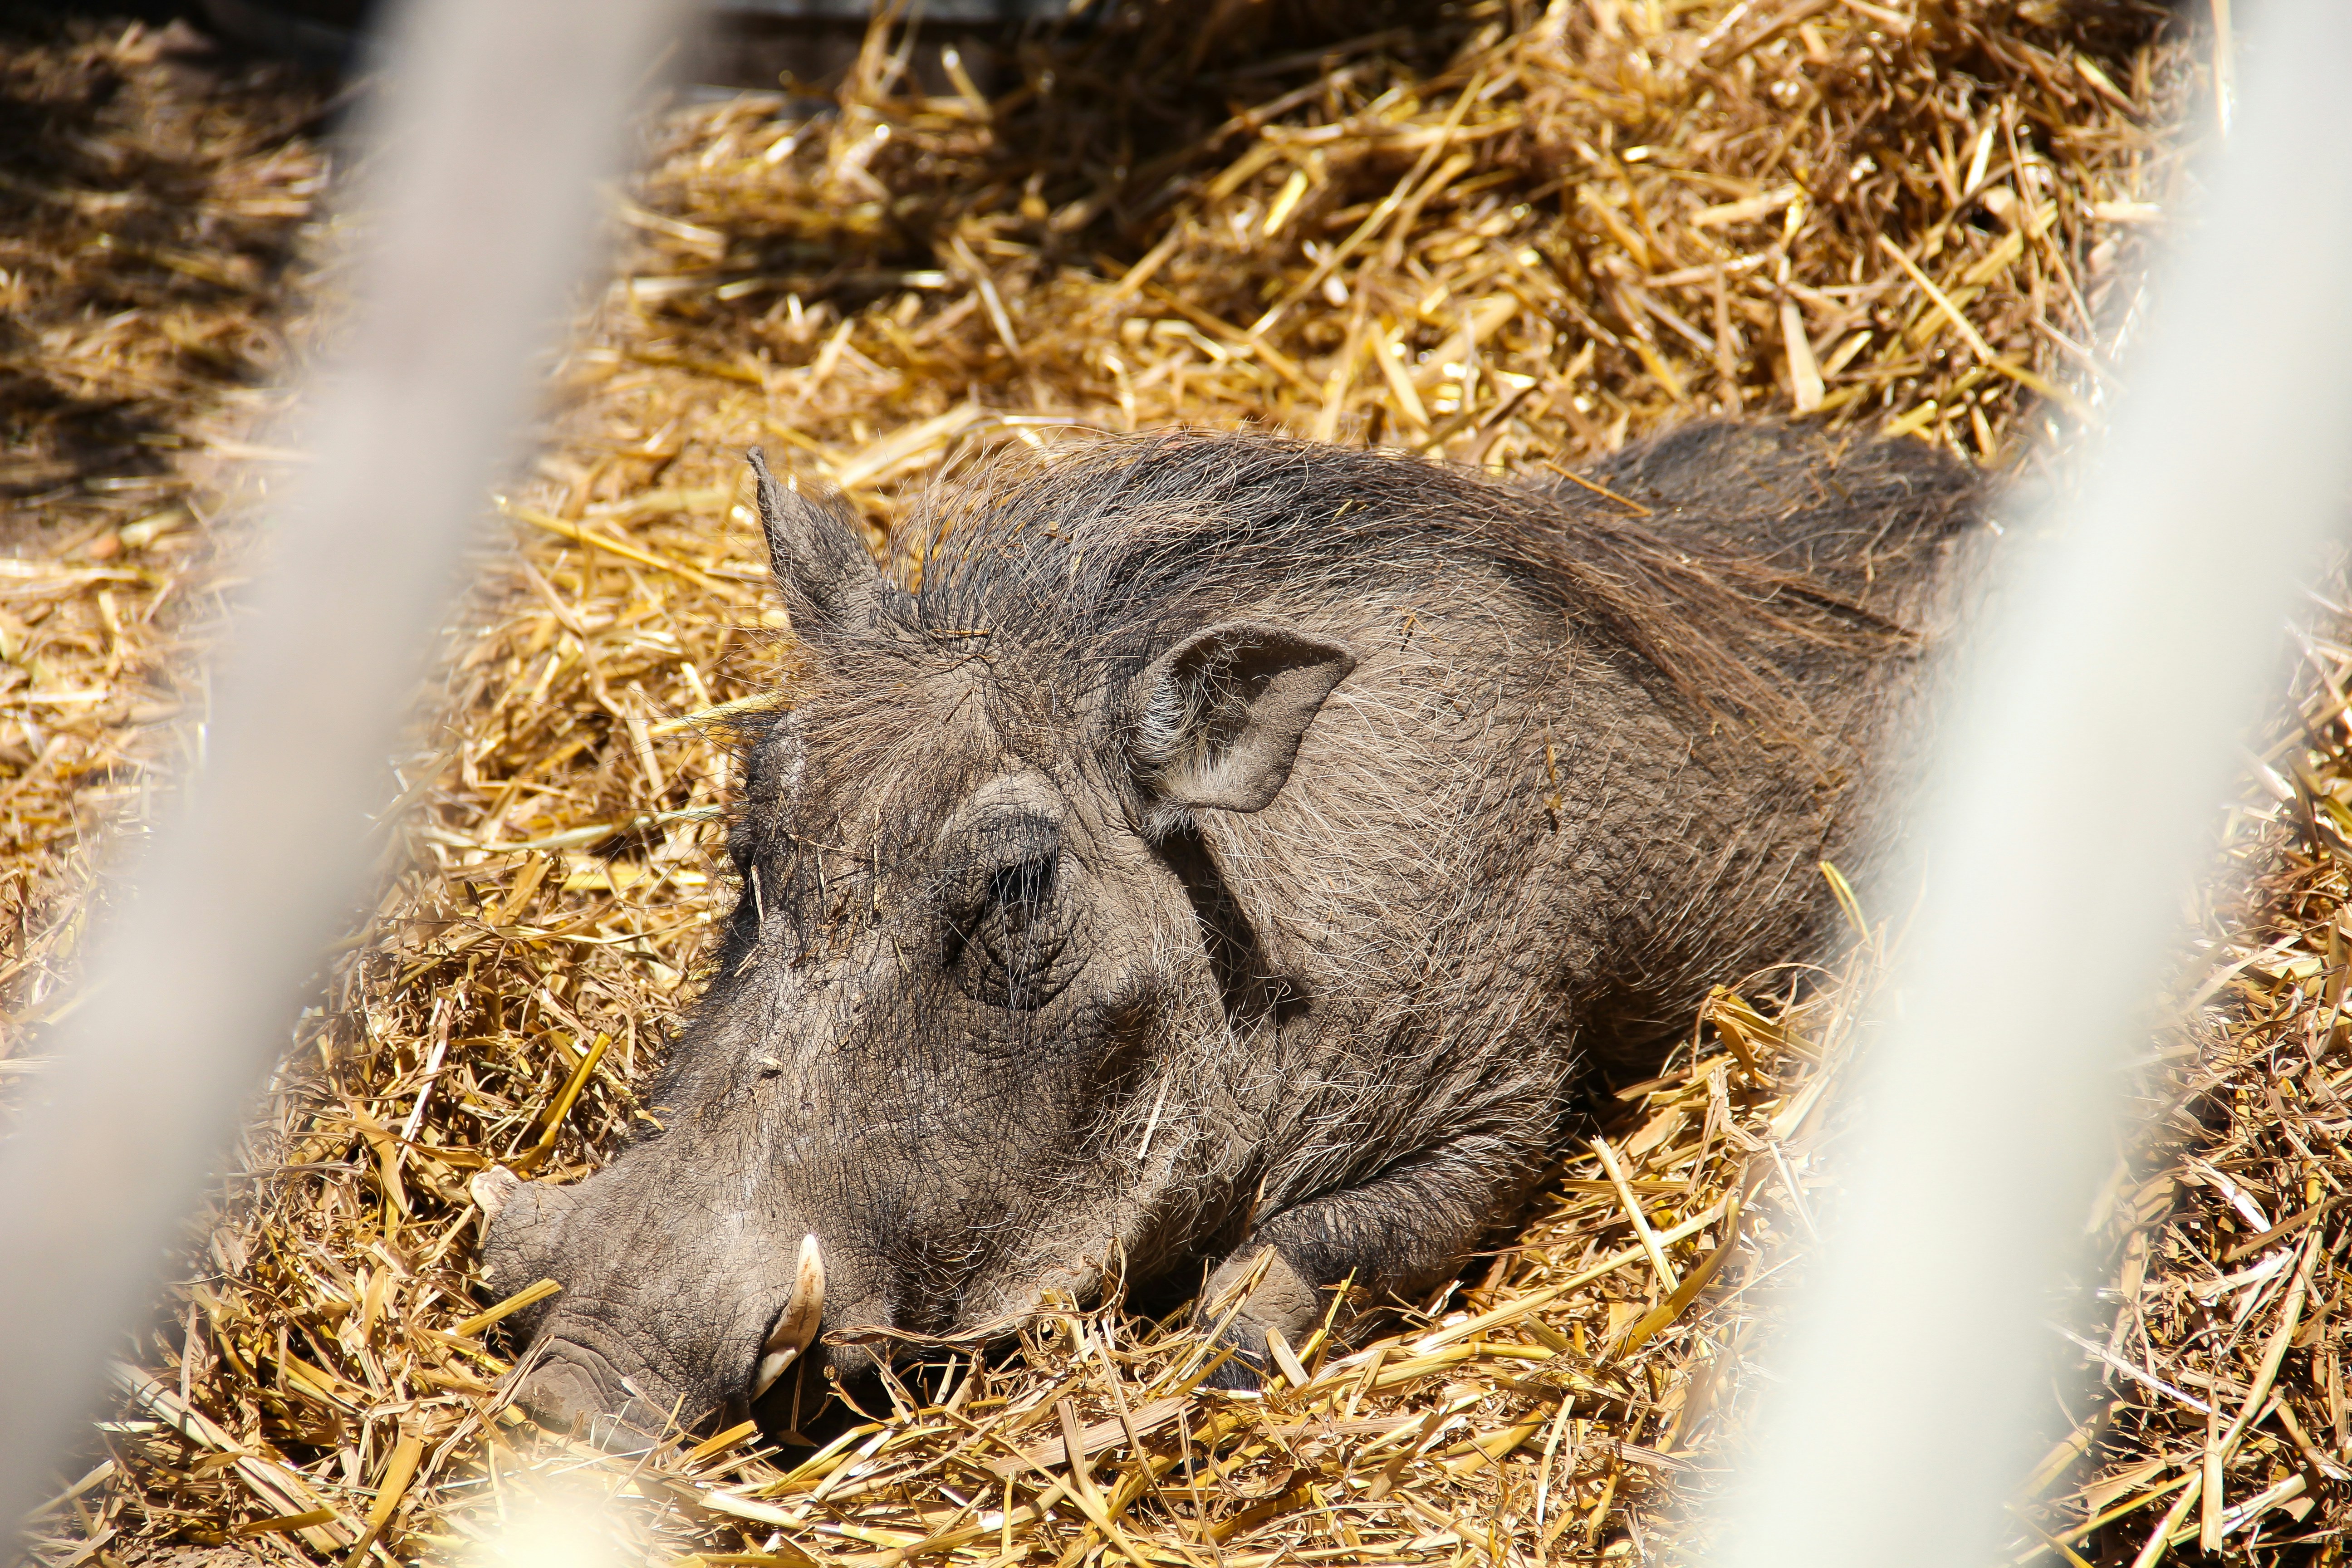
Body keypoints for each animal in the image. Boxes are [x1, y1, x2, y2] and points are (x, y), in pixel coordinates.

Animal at [470, 418, 1979, 1441]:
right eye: (757, 804)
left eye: (1022, 885)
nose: (571, 1389)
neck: (1261, 931)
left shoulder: (1510, 1099)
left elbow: (1307, 1256)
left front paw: (1223, 1343)